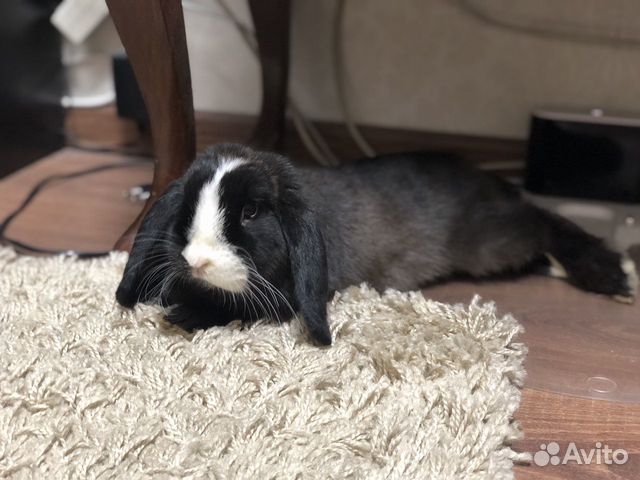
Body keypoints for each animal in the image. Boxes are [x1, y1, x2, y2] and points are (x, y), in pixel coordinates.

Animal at [116, 143, 638, 345]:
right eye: (188, 205)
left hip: (493, 242)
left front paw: (183, 315)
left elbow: (237, 306)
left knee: (541, 220)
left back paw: (611, 274)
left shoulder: (287, 296)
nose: (197, 260)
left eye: (251, 212)